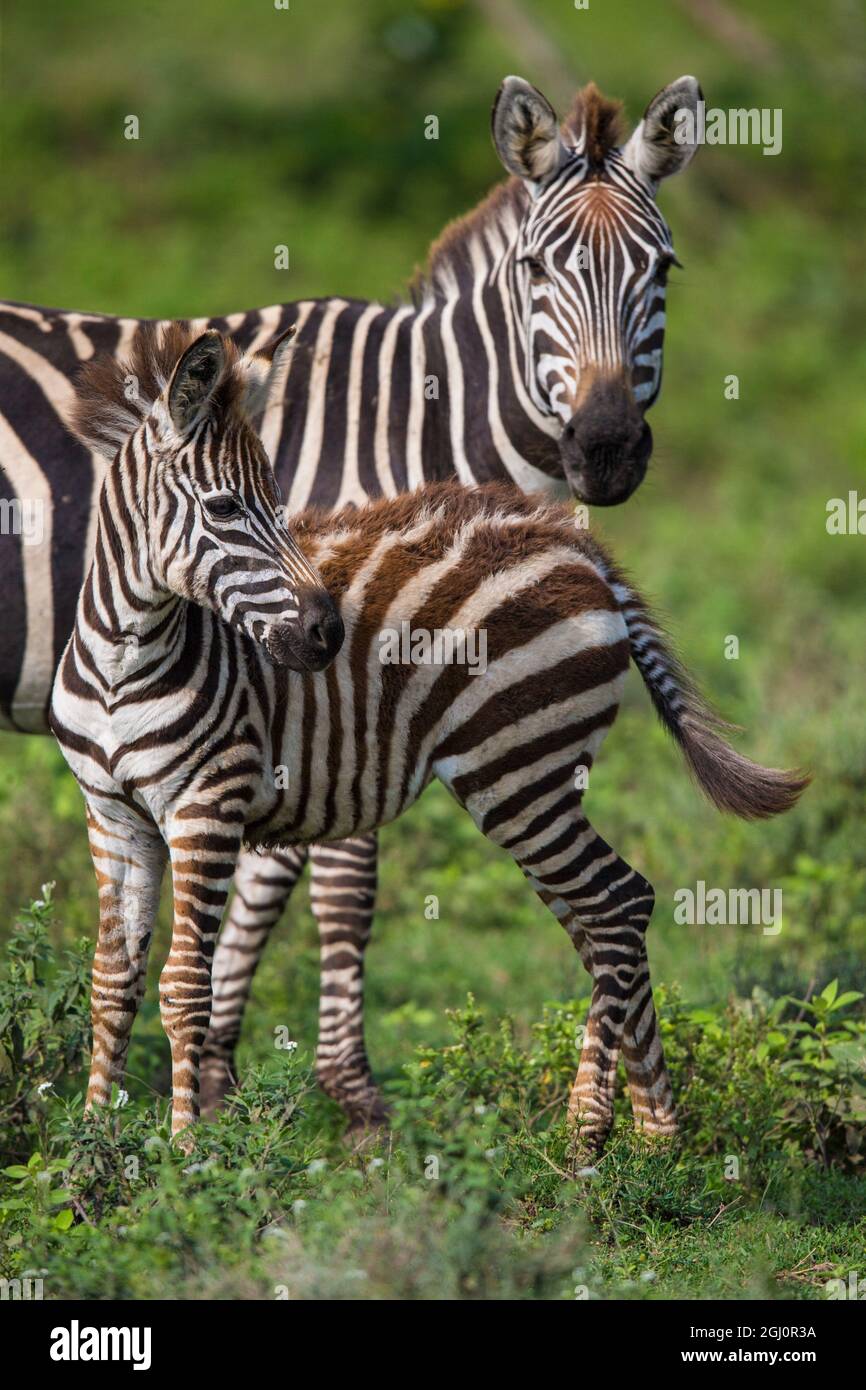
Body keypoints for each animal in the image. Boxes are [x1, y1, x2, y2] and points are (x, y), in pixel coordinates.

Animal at [1, 71, 704, 1122]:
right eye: (537, 269)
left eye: (661, 269)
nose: (609, 447)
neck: (417, 415)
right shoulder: (336, 676)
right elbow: (340, 884)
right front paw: (344, 1097)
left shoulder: (316, 696)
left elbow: (261, 889)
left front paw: (219, 1080)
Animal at [52, 325, 806, 1146]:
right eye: (222, 507)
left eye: (278, 505)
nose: (325, 634)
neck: (124, 662)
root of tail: (575, 544)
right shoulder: (112, 815)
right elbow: (112, 983)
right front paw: (90, 1147)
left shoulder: (207, 806)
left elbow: (186, 985)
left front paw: (188, 1152)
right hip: (541, 781)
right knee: (600, 920)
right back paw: (638, 1130)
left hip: (514, 770)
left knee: (617, 906)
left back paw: (605, 1132)